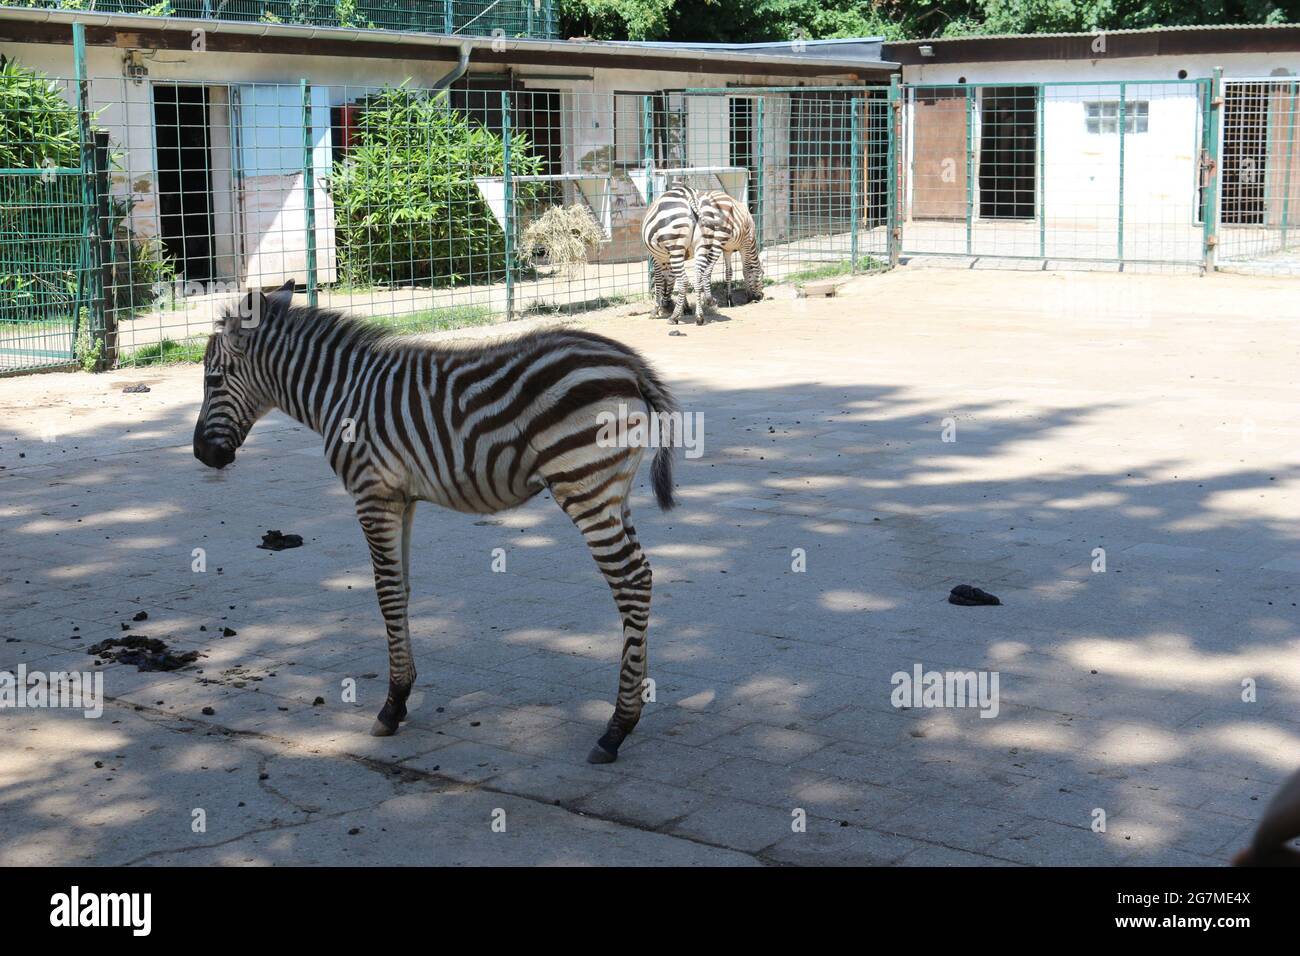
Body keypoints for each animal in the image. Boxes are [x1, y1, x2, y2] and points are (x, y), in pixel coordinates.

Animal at [192, 280, 678, 764]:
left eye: (213, 379)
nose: (202, 455)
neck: (340, 395)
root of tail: (629, 363)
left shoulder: (372, 494)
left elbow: (386, 593)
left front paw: (391, 707)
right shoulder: (402, 498)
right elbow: (402, 589)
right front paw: (403, 695)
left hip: (583, 484)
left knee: (630, 581)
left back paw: (616, 729)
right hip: (612, 491)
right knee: (643, 576)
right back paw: (631, 713)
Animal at [642, 182, 705, 325]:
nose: (667, 306)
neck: (666, 262)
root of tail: (688, 193)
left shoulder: (657, 257)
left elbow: (660, 281)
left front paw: (655, 310)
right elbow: (672, 279)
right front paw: (685, 307)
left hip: (675, 245)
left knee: (684, 281)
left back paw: (674, 317)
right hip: (701, 247)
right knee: (697, 280)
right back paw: (699, 317)